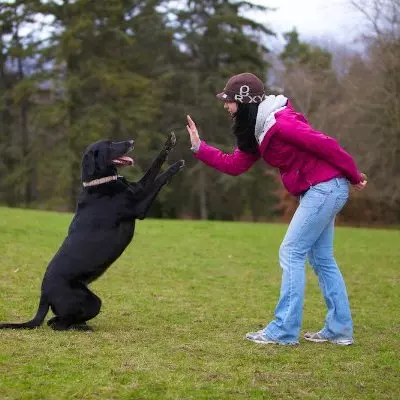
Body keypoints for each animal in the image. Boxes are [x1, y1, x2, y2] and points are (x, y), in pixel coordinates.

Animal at [0, 133, 184, 330]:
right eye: (109, 145)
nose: (132, 142)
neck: (100, 182)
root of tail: (44, 295)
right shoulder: (139, 205)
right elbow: (159, 179)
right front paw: (175, 165)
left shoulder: (139, 187)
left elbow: (154, 167)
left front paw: (168, 145)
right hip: (91, 301)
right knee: (60, 324)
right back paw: (84, 327)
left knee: (54, 320)